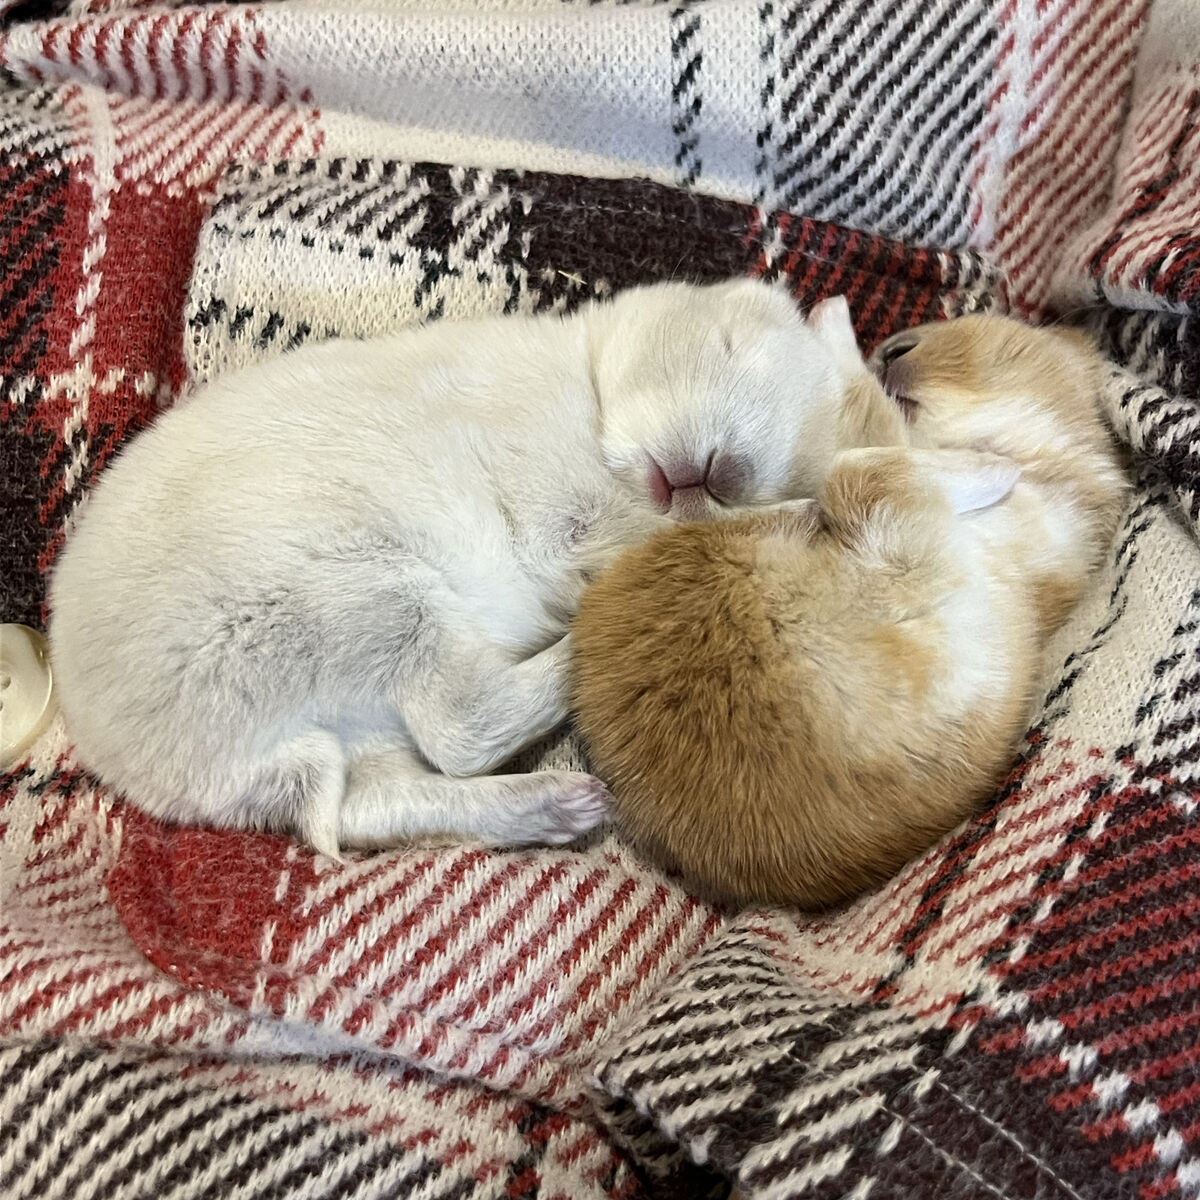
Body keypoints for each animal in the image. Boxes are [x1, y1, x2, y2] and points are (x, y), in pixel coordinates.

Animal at [49, 277, 877, 858]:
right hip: (366, 593)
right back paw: (583, 659)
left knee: (380, 797)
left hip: (358, 688)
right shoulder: (570, 513)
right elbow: (652, 527)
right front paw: (794, 512)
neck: (593, 392)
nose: (724, 474)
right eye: (731, 345)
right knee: (460, 726)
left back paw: (558, 803)